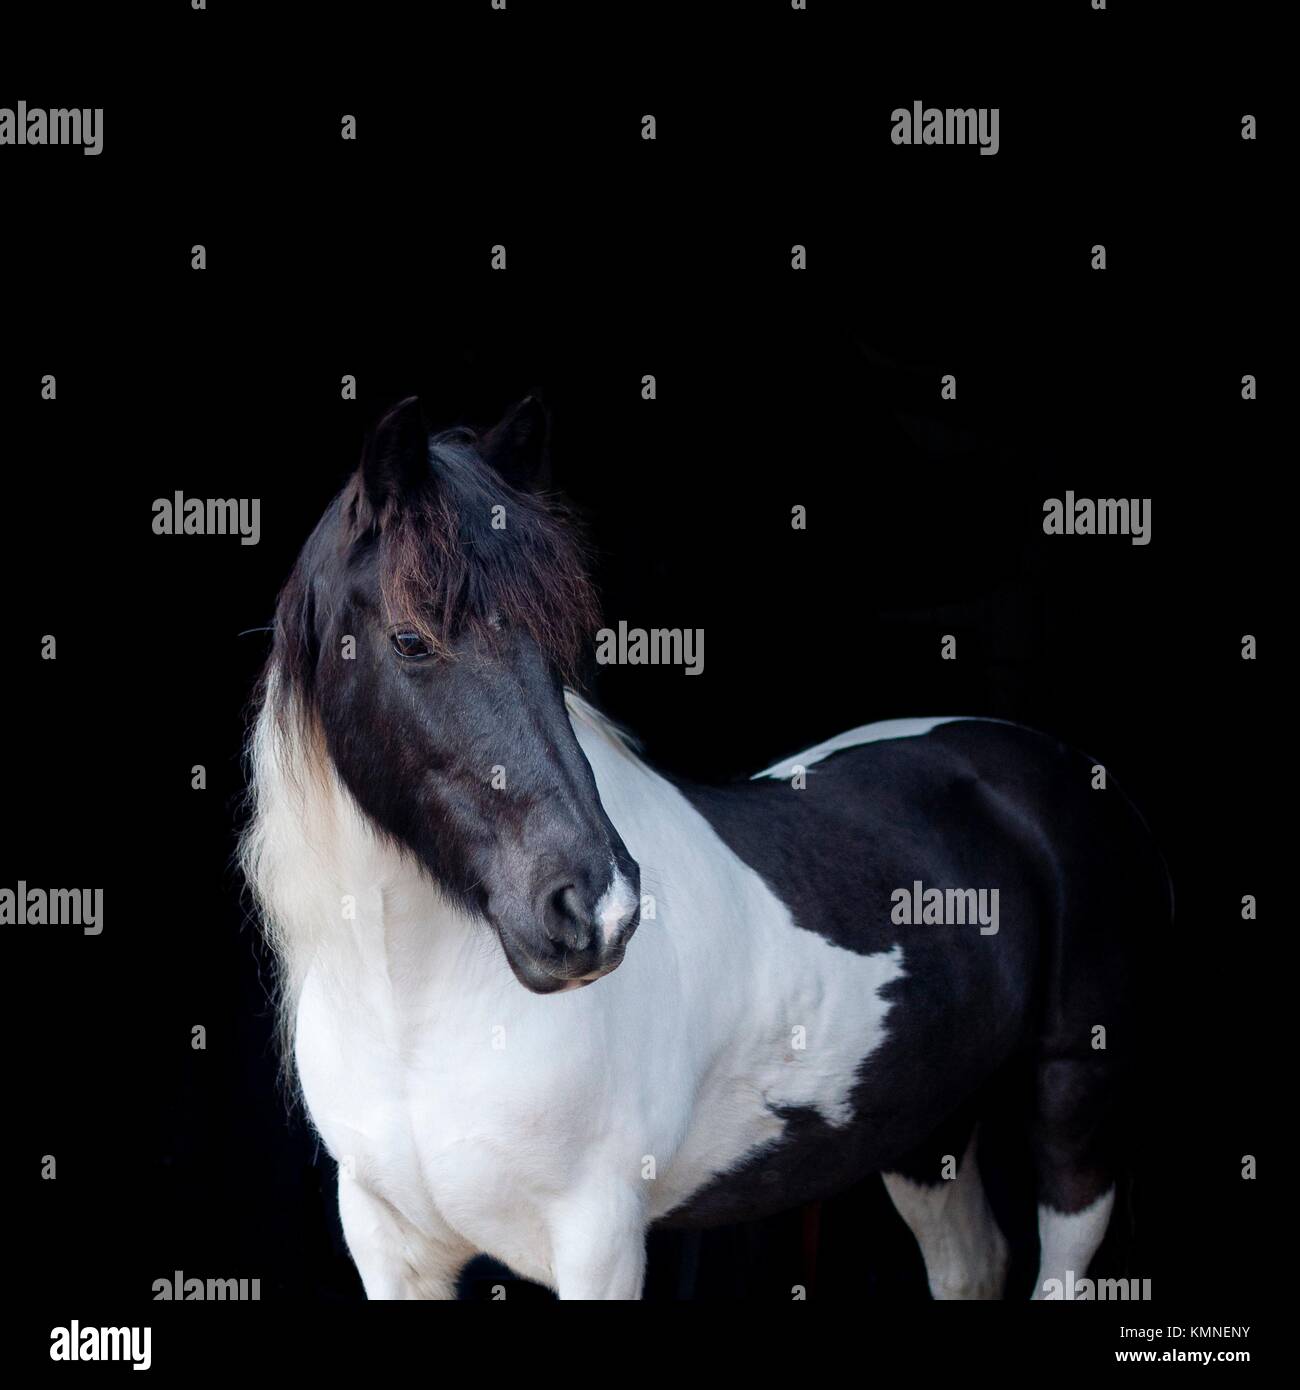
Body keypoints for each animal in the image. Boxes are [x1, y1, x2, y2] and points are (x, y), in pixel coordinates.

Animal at [241, 394, 1171, 1300]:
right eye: (410, 640)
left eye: (557, 644)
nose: (597, 911)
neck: (418, 1020)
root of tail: (1068, 767)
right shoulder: (387, 1249)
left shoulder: (600, 1244)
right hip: (925, 1133)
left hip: (1075, 1110)